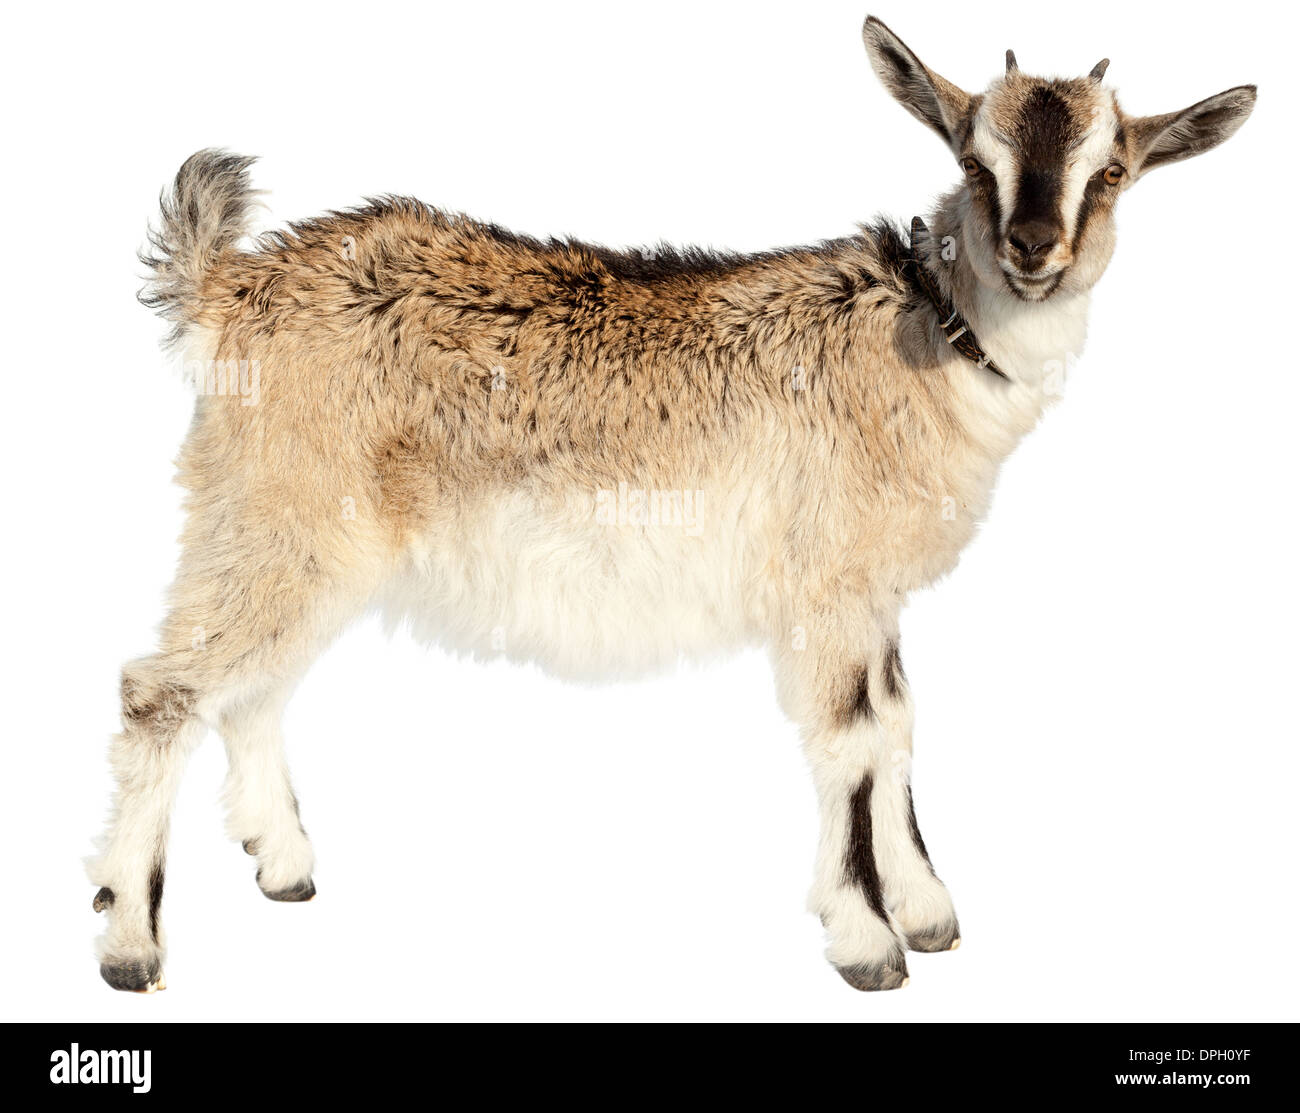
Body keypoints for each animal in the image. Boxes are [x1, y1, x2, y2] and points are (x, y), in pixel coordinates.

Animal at [89, 16, 1255, 992]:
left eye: (1112, 171)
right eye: (975, 160)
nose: (1032, 250)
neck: (923, 342)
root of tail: (232, 289)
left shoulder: (871, 591)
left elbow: (896, 725)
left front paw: (926, 910)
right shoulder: (825, 583)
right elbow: (849, 741)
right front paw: (866, 941)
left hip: (302, 534)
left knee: (255, 689)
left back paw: (283, 864)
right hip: (274, 515)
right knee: (163, 690)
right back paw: (130, 942)